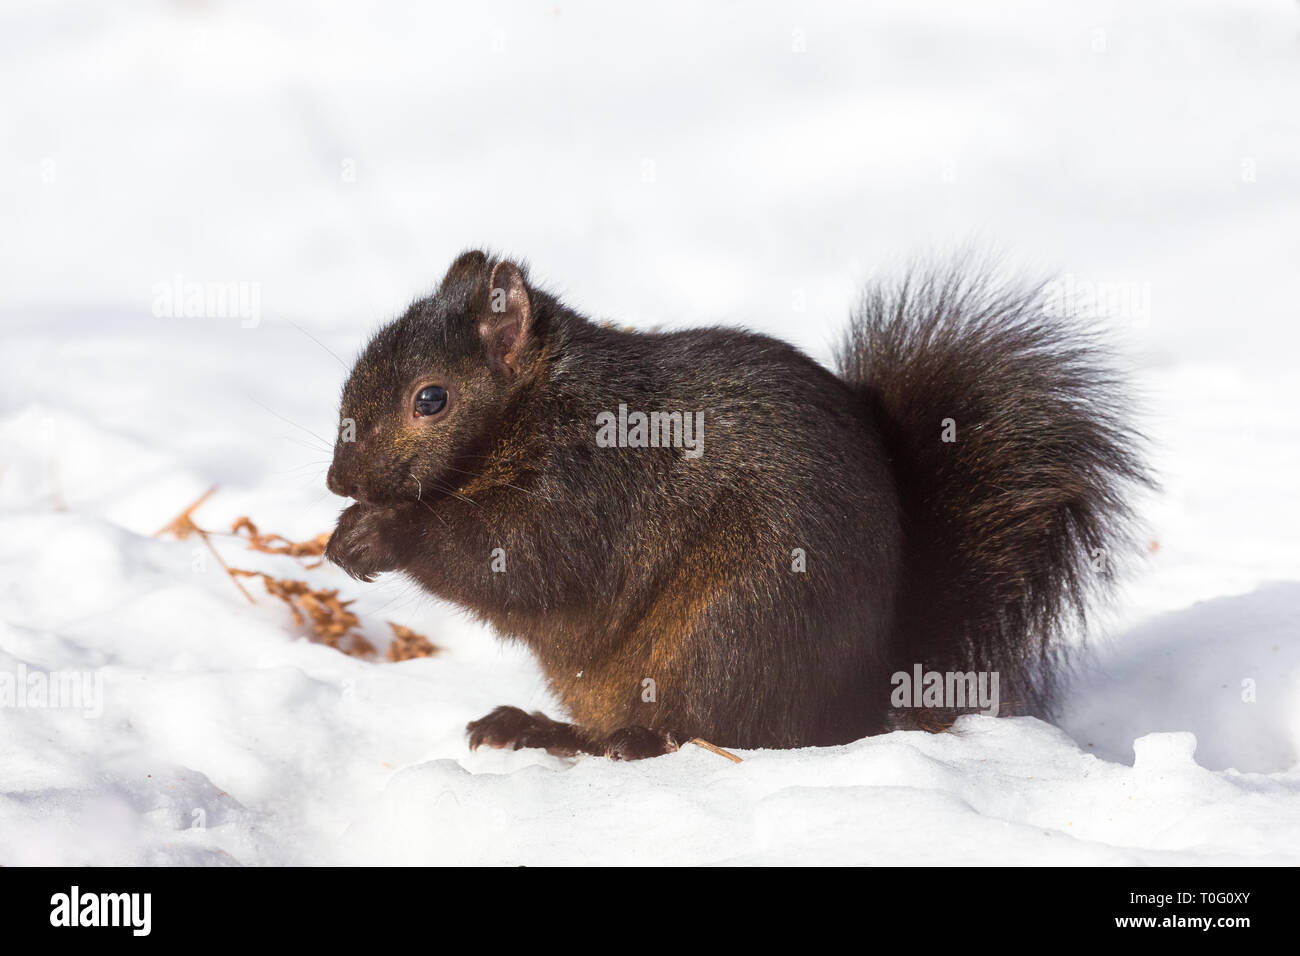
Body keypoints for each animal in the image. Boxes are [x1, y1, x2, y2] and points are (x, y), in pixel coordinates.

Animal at [325, 250, 1149, 760]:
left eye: (431, 399)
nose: (338, 481)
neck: (537, 407)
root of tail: (861, 699)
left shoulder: (589, 486)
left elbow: (521, 561)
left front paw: (381, 532)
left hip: (732, 629)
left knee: (716, 729)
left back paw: (613, 739)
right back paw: (537, 727)